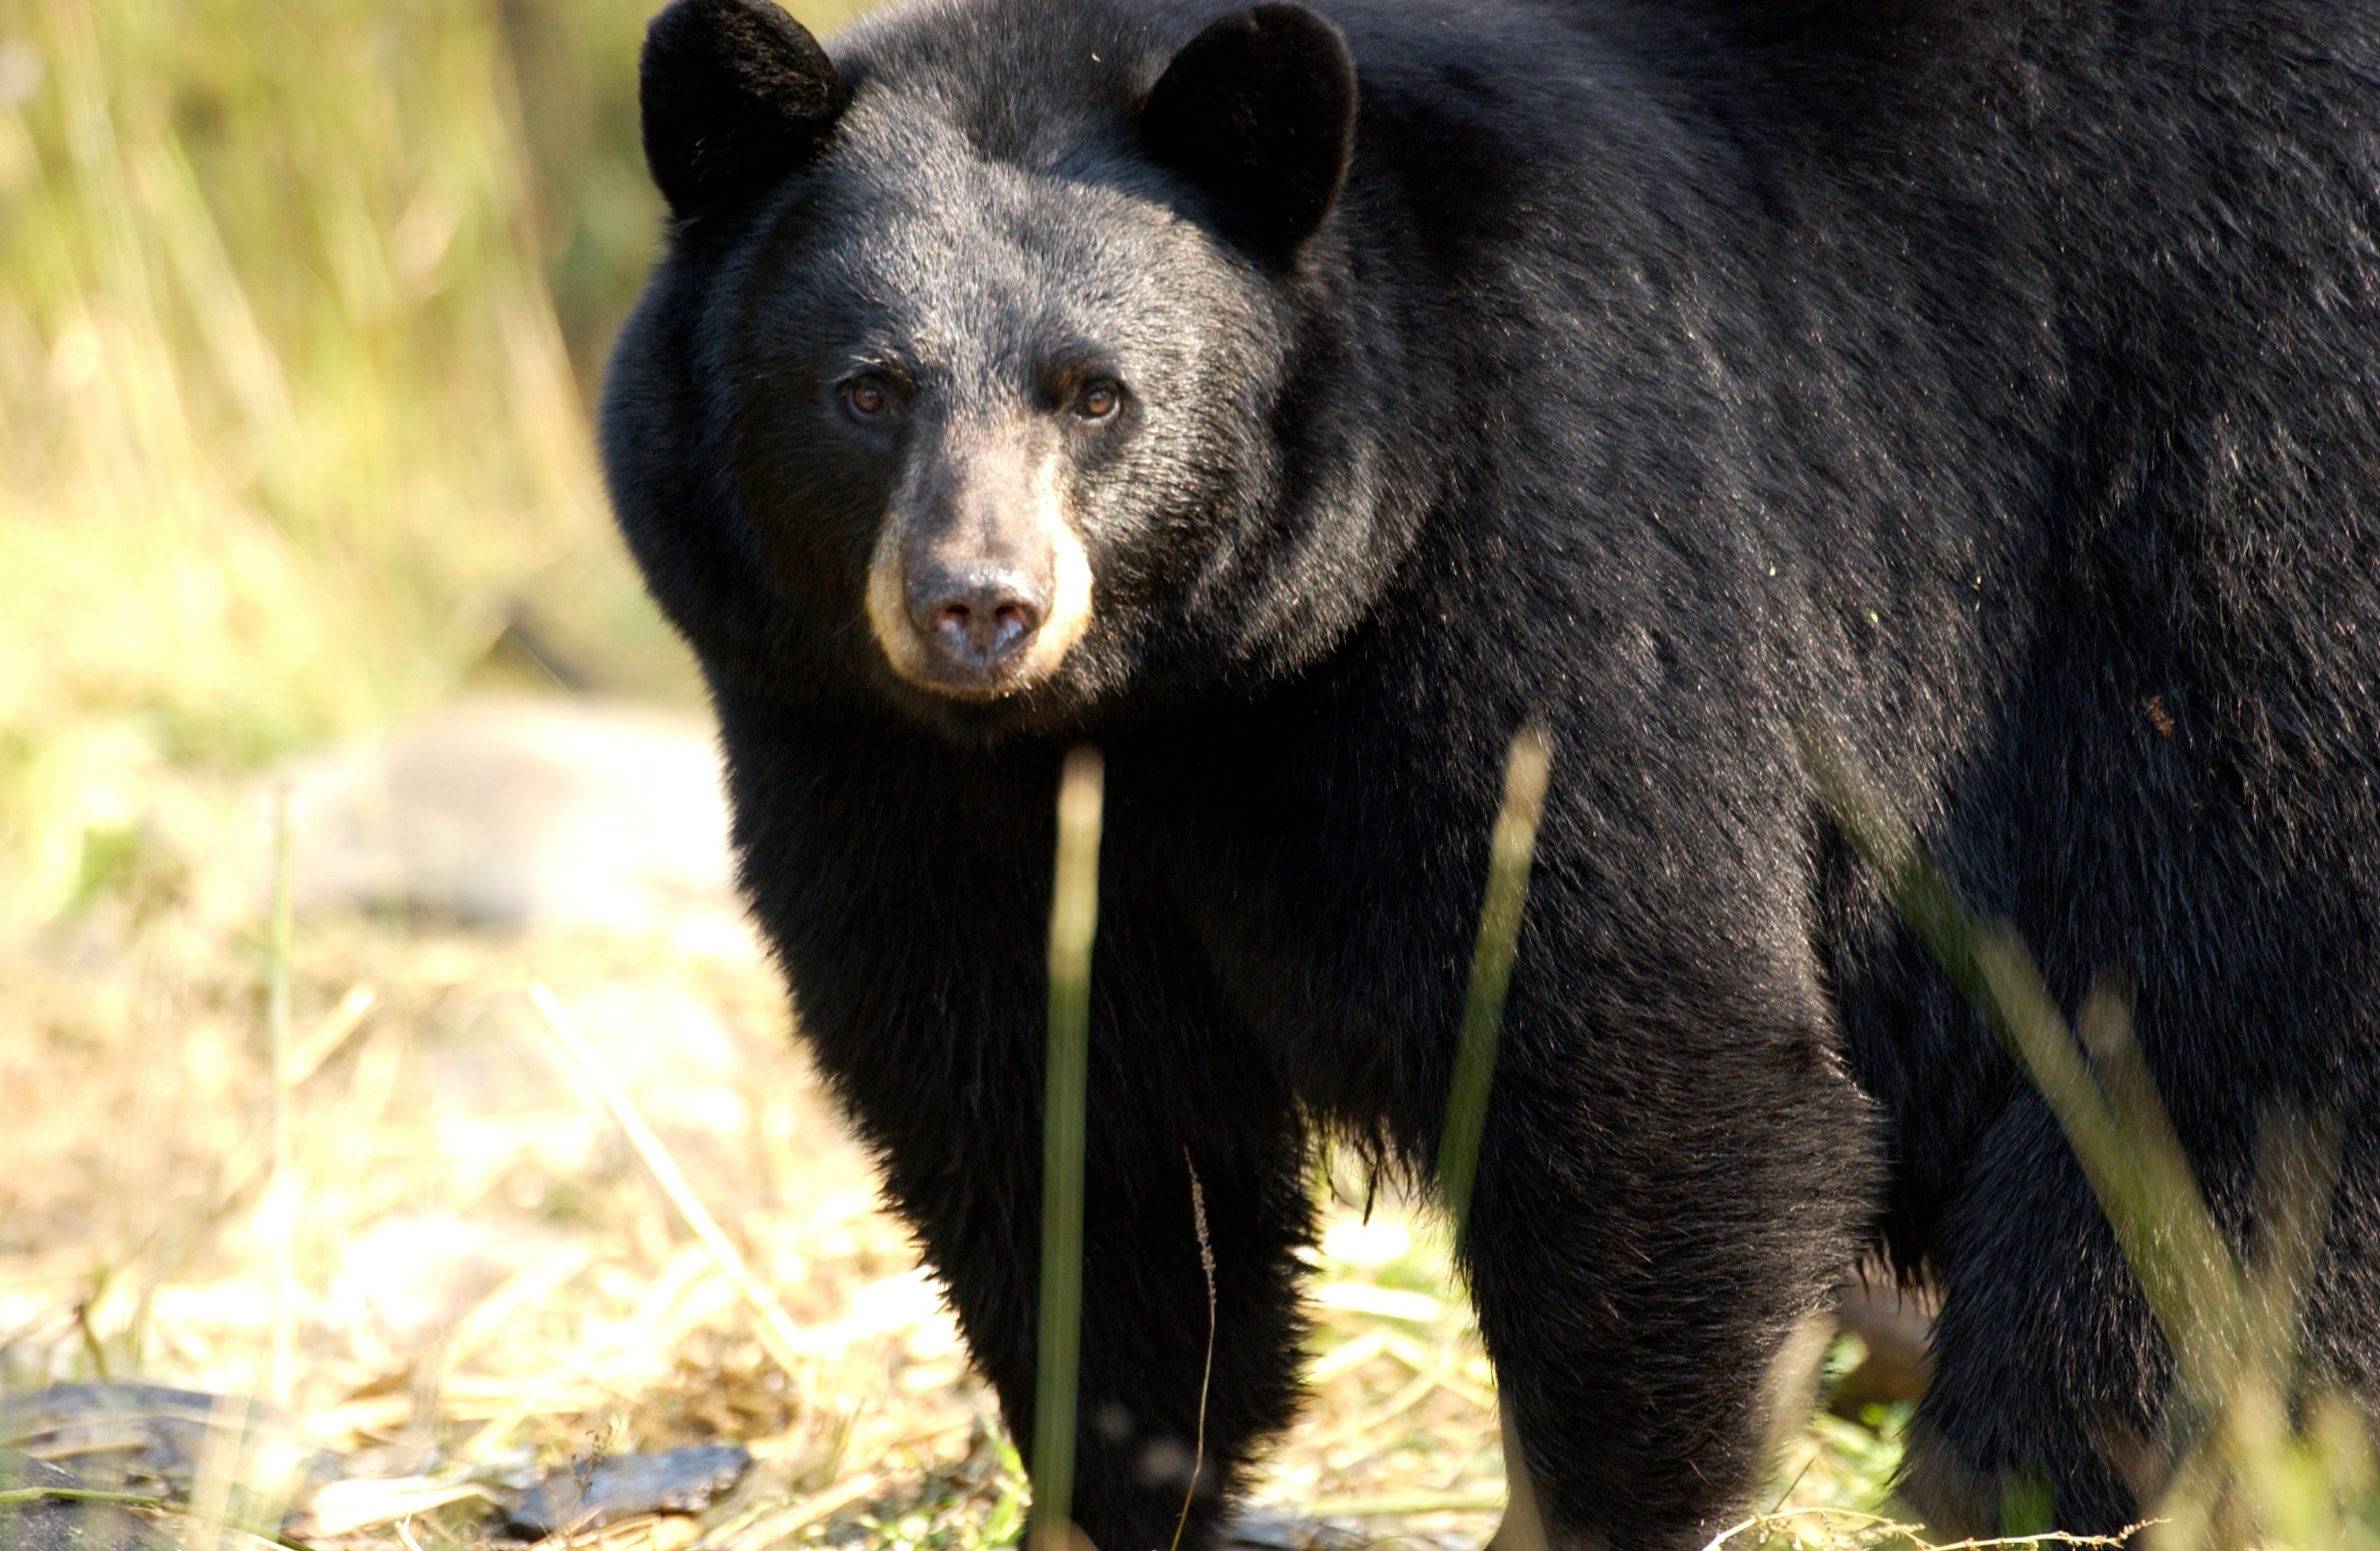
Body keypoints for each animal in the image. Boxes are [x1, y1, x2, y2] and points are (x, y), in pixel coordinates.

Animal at [597, 0, 2380, 1545]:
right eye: (866, 389)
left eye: (1096, 395)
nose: (978, 604)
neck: (1182, 691)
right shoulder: (876, 755)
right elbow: (1052, 1119)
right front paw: (1117, 1480)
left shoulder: (1546, 558)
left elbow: (1646, 1048)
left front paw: (1600, 1504)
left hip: (2229, 576)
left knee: (2198, 1124)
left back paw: (2026, 1478)